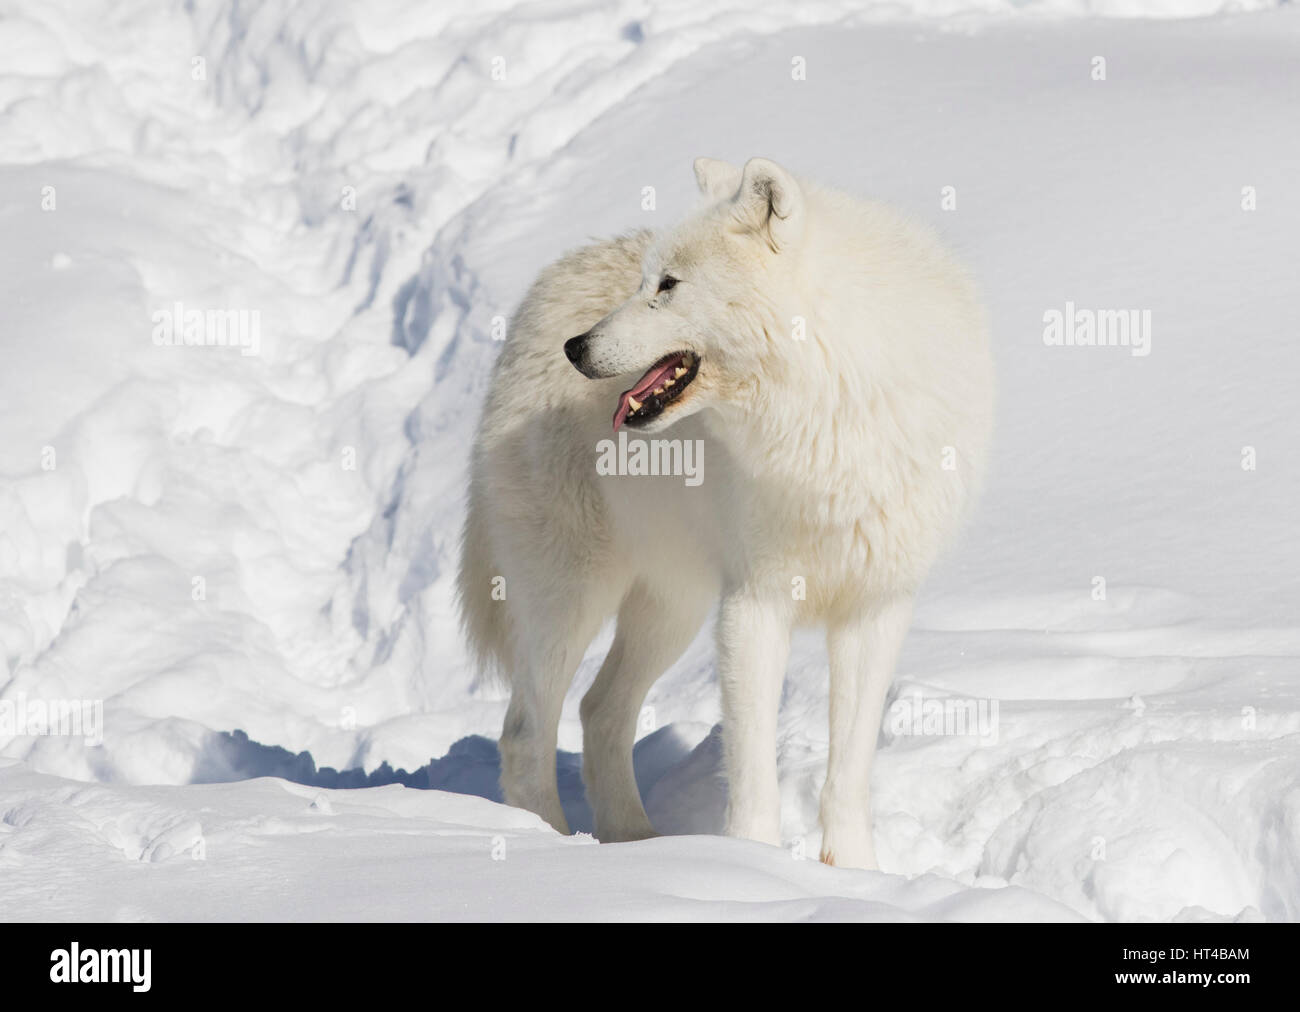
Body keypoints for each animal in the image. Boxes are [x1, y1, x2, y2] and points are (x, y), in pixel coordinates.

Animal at [459, 156, 993, 869]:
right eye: (644, 281)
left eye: (667, 285)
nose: (578, 348)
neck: (829, 406)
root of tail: (539, 295)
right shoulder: (753, 603)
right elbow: (752, 763)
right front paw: (754, 864)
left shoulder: (876, 608)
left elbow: (849, 772)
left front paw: (855, 872)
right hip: (572, 598)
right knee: (524, 732)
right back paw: (549, 844)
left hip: (671, 607)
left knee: (600, 710)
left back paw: (634, 841)